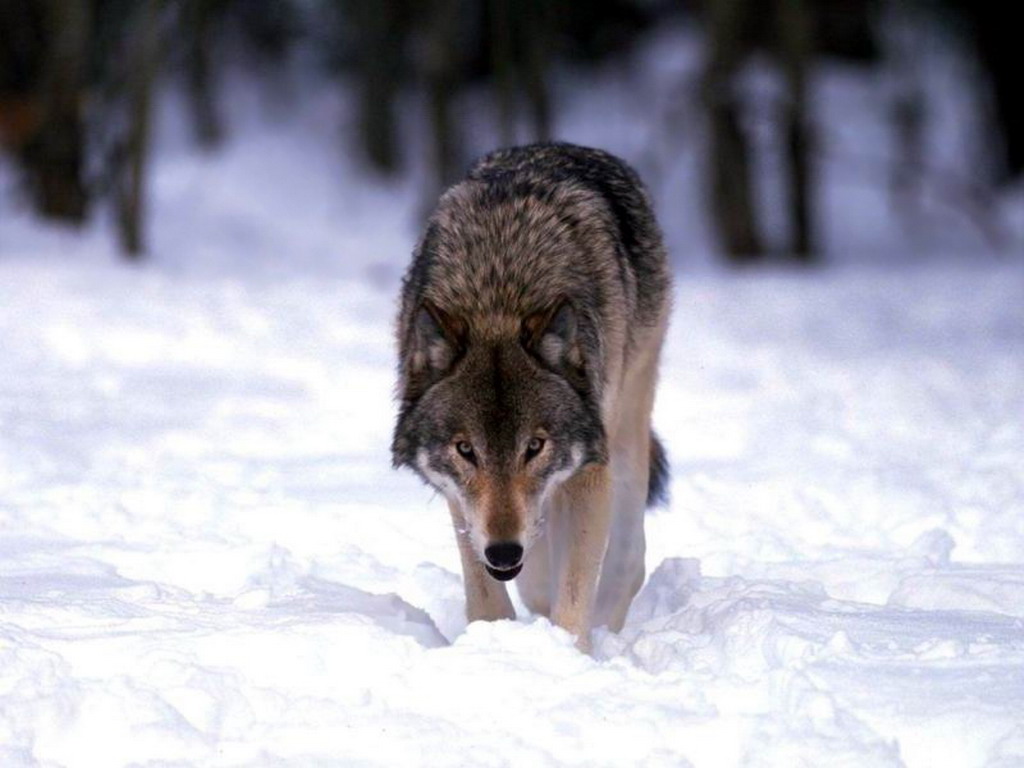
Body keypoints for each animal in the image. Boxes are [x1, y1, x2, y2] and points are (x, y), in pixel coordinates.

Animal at [392, 142, 670, 650]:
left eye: (535, 446)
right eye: (466, 450)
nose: (504, 552)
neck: (498, 293)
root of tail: (562, 146)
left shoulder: (589, 468)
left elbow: (573, 598)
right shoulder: (464, 503)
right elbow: (488, 596)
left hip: (627, 423)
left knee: (627, 558)